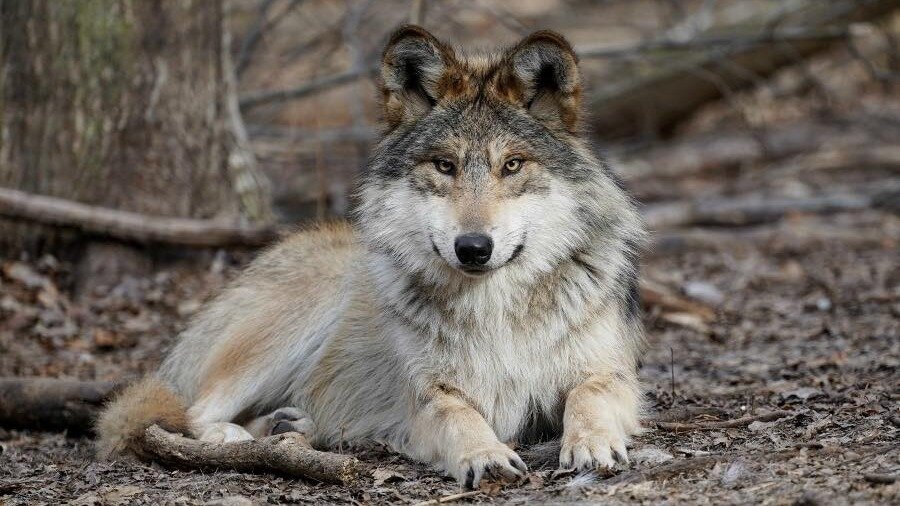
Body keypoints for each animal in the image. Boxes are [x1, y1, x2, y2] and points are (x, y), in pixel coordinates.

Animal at [97, 26, 647, 488]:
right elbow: (460, 416)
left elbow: (588, 397)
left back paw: (291, 425)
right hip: (305, 314)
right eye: (443, 166)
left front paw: (592, 444)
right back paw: (243, 437)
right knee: (193, 411)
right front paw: (484, 454)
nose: (473, 247)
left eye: (512, 165)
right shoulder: (427, 395)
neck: (497, 310)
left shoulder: (607, 372)